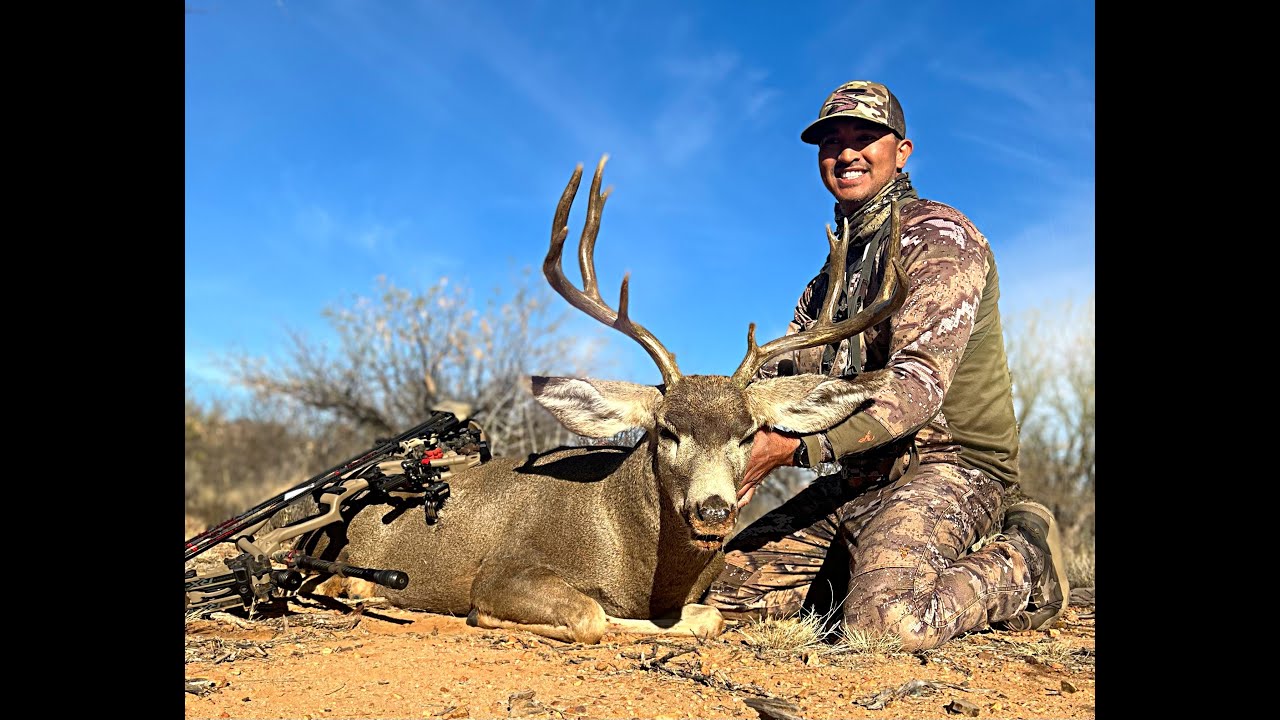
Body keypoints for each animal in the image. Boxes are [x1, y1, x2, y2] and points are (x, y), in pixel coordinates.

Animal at [315, 156, 908, 644]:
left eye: (747, 436)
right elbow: (591, 616)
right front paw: (486, 616)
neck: (631, 556)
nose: (714, 510)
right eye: (666, 430)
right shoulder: (505, 571)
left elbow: (709, 617)